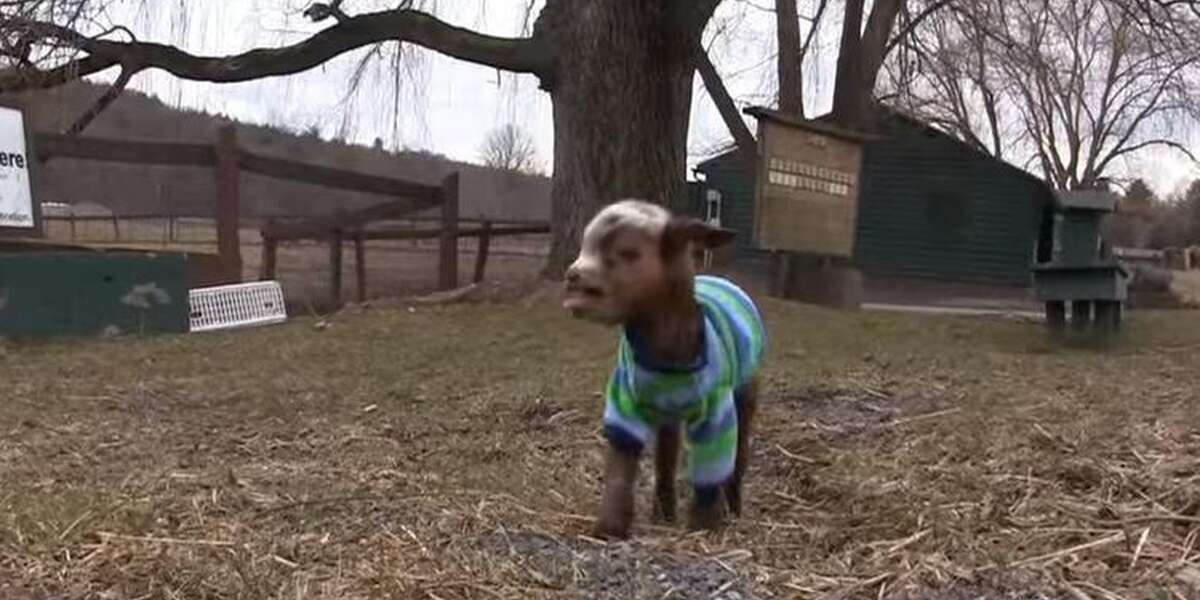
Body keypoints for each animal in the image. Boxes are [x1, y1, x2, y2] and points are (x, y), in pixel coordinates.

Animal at [562, 199, 767, 539]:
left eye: (629, 252)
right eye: (585, 245)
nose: (573, 276)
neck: (664, 356)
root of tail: (721, 280)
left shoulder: (717, 411)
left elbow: (710, 471)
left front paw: (704, 527)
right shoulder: (624, 402)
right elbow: (621, 465)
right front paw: (609, 527)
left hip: (746, 388)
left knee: (740, 452)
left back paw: (734, 507)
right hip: (668, 412)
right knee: (666, 455)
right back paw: (664, 513)